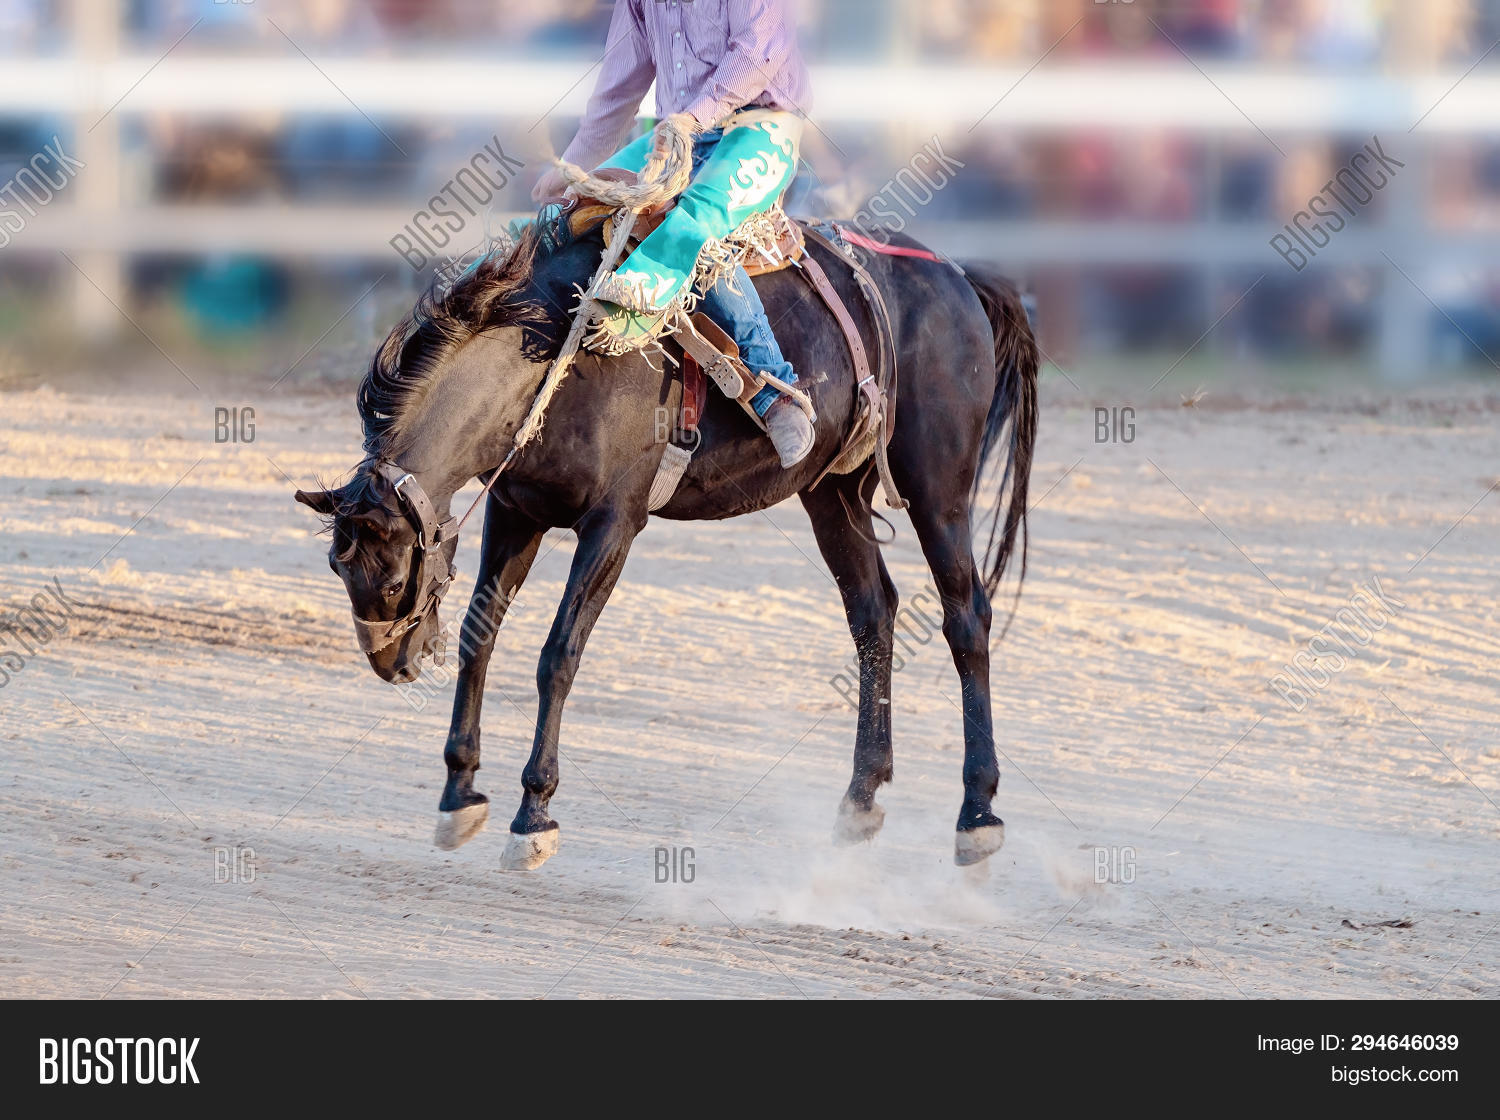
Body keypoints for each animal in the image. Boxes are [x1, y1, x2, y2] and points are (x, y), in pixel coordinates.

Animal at [294, 208, 1038, 872]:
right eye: (337, 567)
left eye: (394, 579)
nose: (393, 665)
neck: (553, 363)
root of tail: (955, 279)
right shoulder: (514, 512)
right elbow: (481, 637)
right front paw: (459, 792)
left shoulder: (614, 523)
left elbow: (558, 655)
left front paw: (533, 813)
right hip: (832, 494)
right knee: (872, 613)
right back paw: (859, 799)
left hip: (938, 488)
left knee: (966, 617)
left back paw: (977, 812)